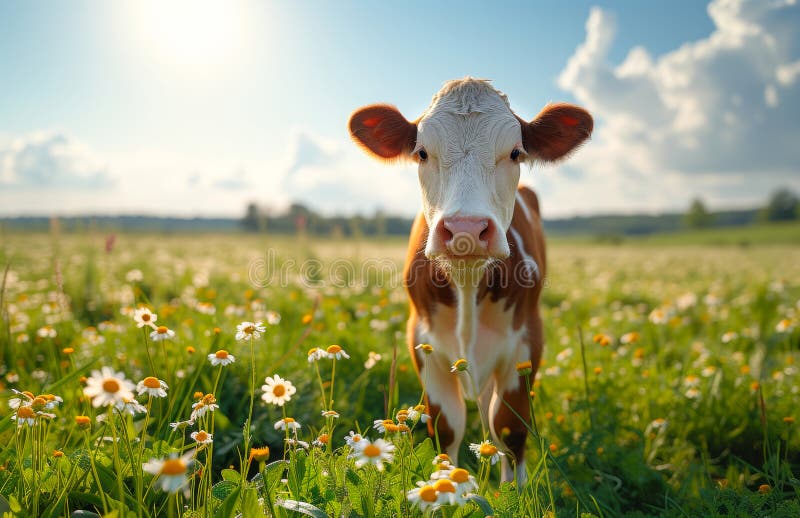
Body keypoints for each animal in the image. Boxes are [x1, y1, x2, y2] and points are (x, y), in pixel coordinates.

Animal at [348, 78, 592, 483]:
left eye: (515, 153)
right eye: (421, 153)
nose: (466, 229)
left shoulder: (527, 339)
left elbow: (509, 425)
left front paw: (516, 490)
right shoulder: (423, 341)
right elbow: (446, 426)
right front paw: (446, 485)